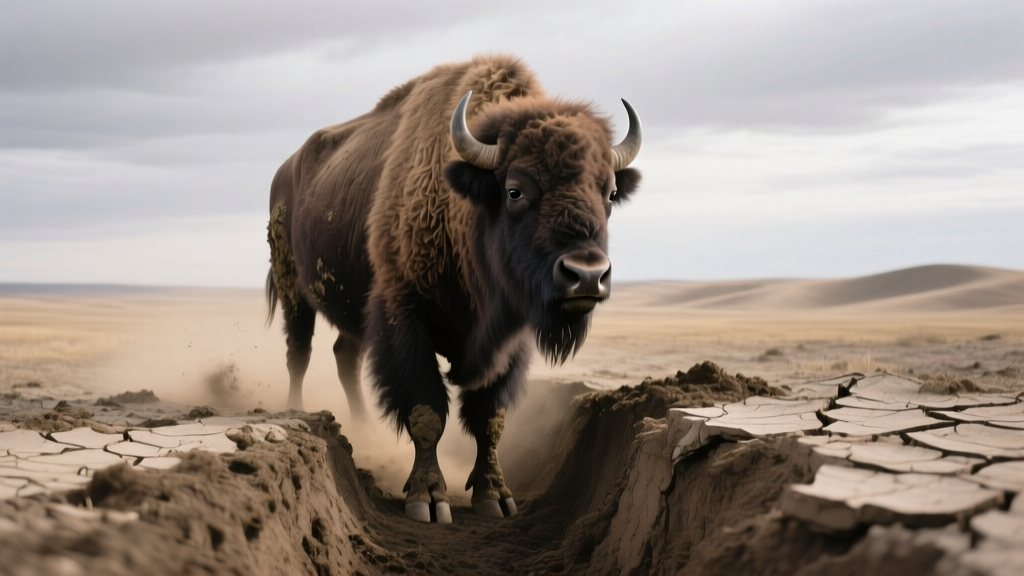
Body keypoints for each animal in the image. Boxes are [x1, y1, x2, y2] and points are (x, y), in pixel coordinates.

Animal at [266, 55, 641, 523]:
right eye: (515, 190)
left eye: (609, 192)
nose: (587, 274)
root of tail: (285, 171)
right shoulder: (405, 319)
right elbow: (427, 410)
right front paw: (427, 499)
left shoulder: (508, 342)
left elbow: (489, 418)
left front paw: (495, 496)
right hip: (293, 289)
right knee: (298, 351)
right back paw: (297, 408)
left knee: (344, 358)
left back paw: (364, 428)